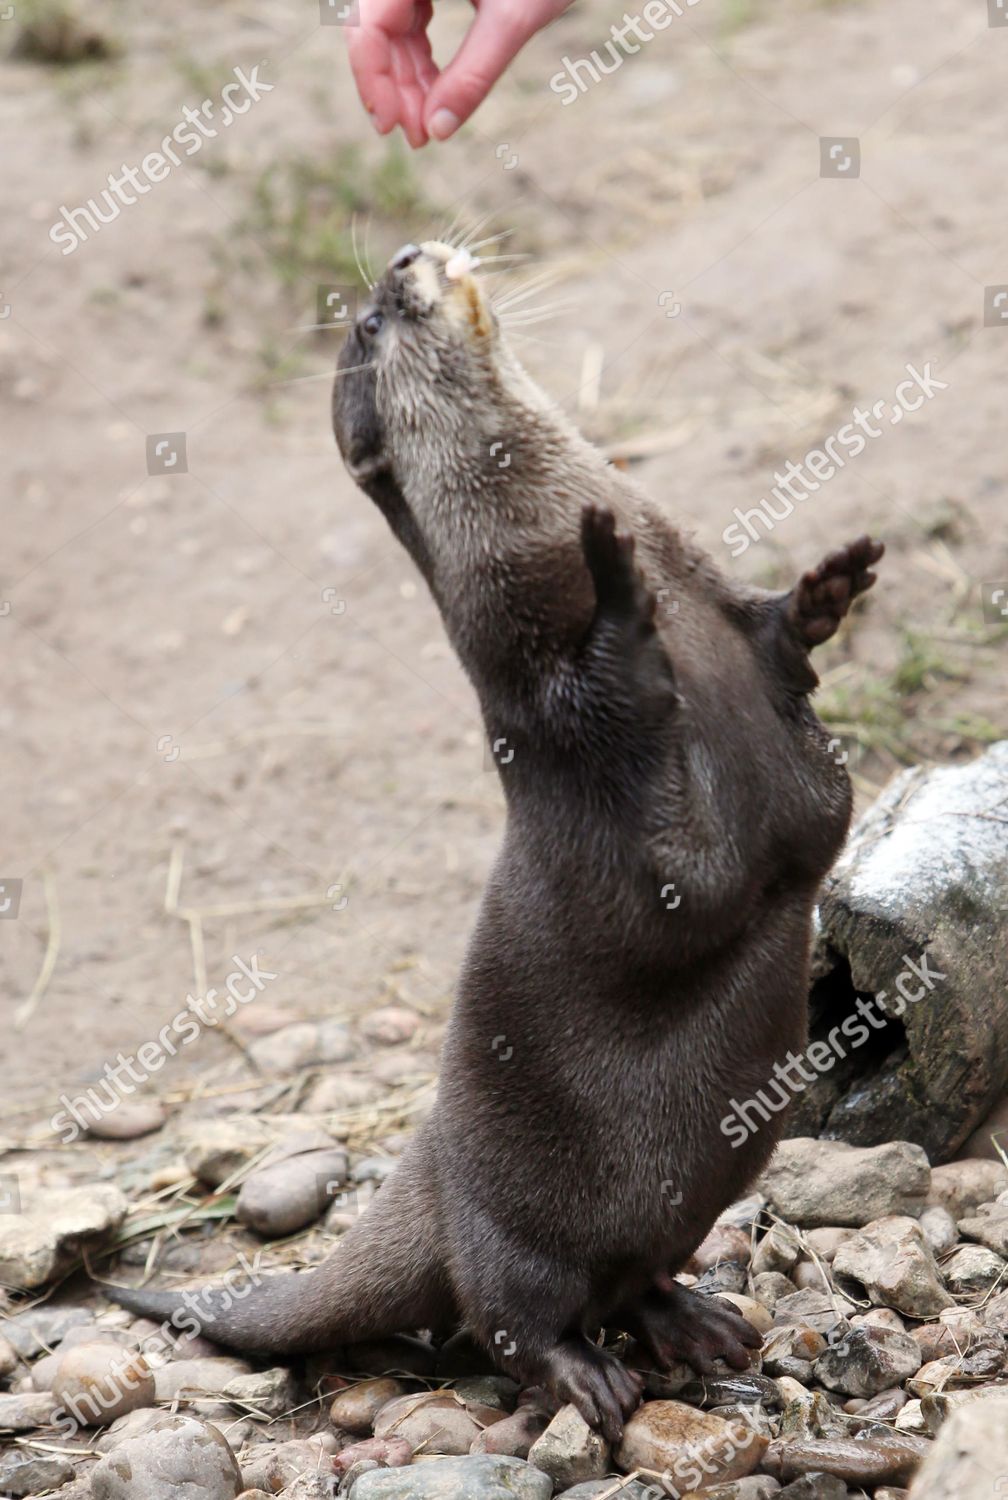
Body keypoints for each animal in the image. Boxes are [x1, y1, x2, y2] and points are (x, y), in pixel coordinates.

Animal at [105, 240, 883, 1441]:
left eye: (383, 292)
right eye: (371, 323)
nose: (405, 256)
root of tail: (425, 1177)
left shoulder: (735, 633)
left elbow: (782, 642)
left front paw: (827, 586)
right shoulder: (553, 704)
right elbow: (624, 746)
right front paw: (617, 585)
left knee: (635, 1279)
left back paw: (698, 1324)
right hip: (507, 1227)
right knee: (510, 1316)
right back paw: (589, 1378)